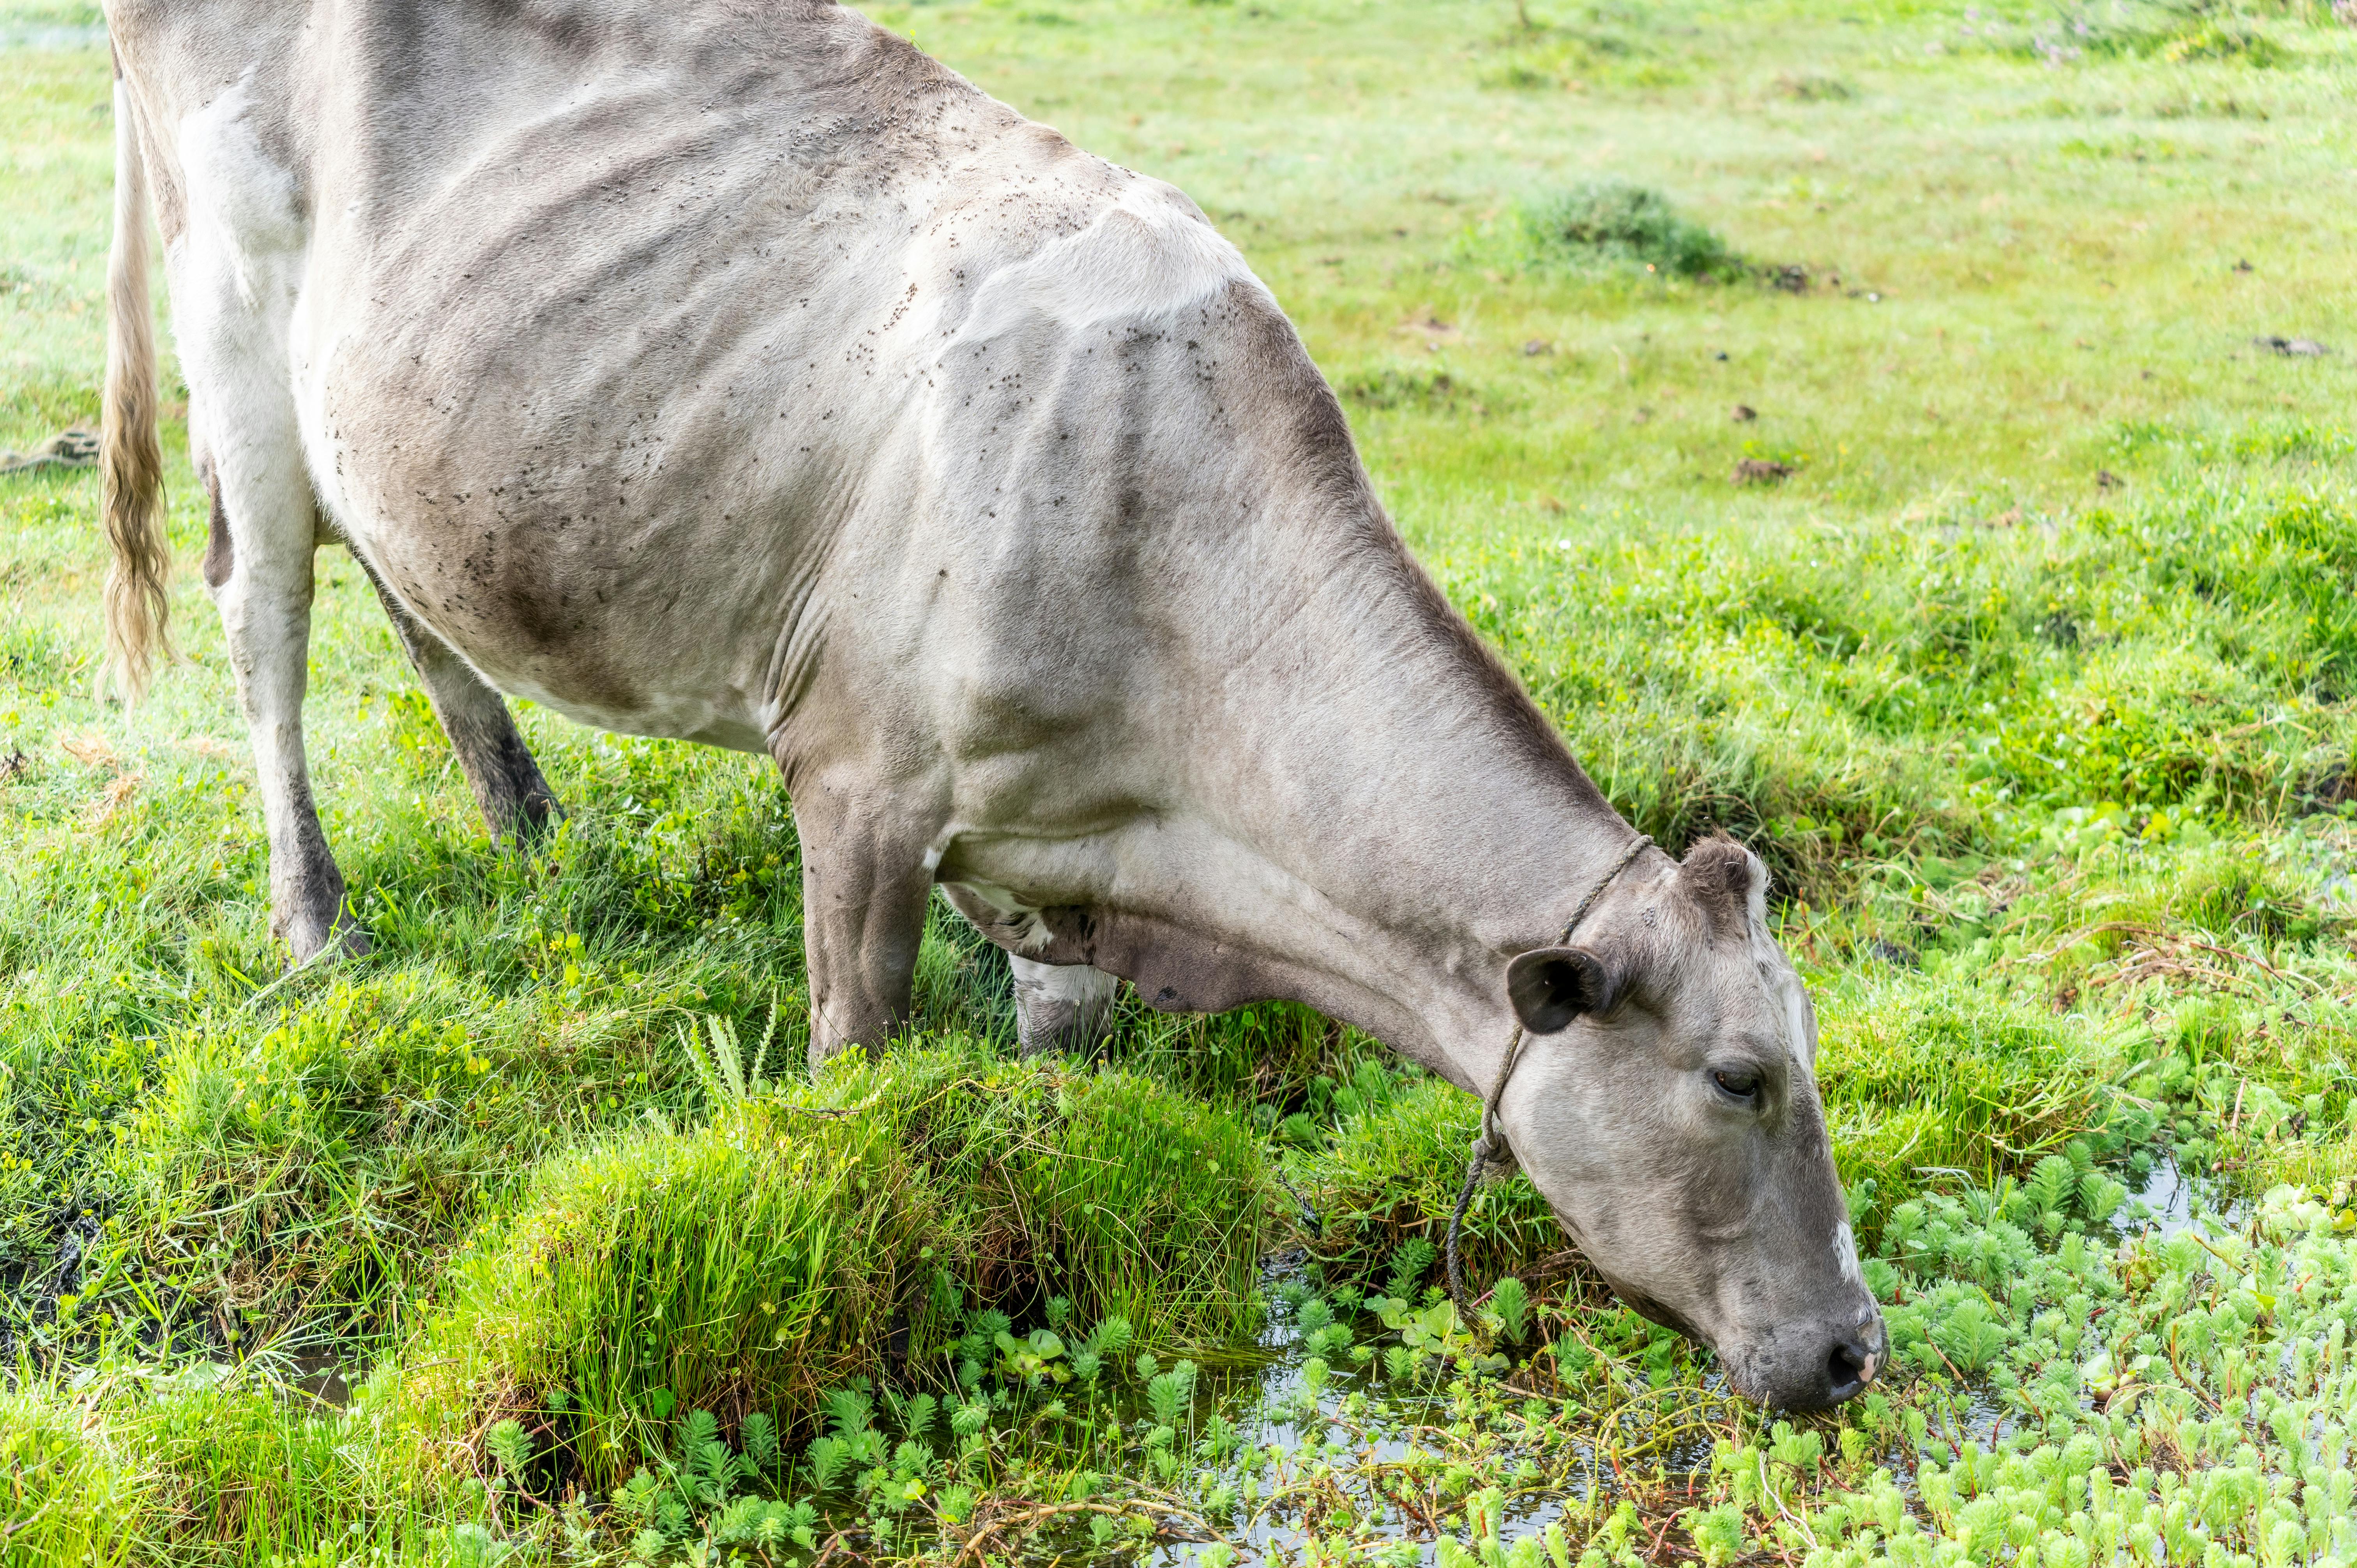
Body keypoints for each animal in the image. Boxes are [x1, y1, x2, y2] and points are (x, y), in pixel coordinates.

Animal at [98, 0, 1884, 1409]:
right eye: (1739, 1077)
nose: (1853, 1346)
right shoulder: (857, 787)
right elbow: (850, 1068)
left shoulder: (1063, 854)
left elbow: (1058, 1082)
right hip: (230, 334)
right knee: (269, 615)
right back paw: (317, 923)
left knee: (415, 587)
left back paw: (529, 824)